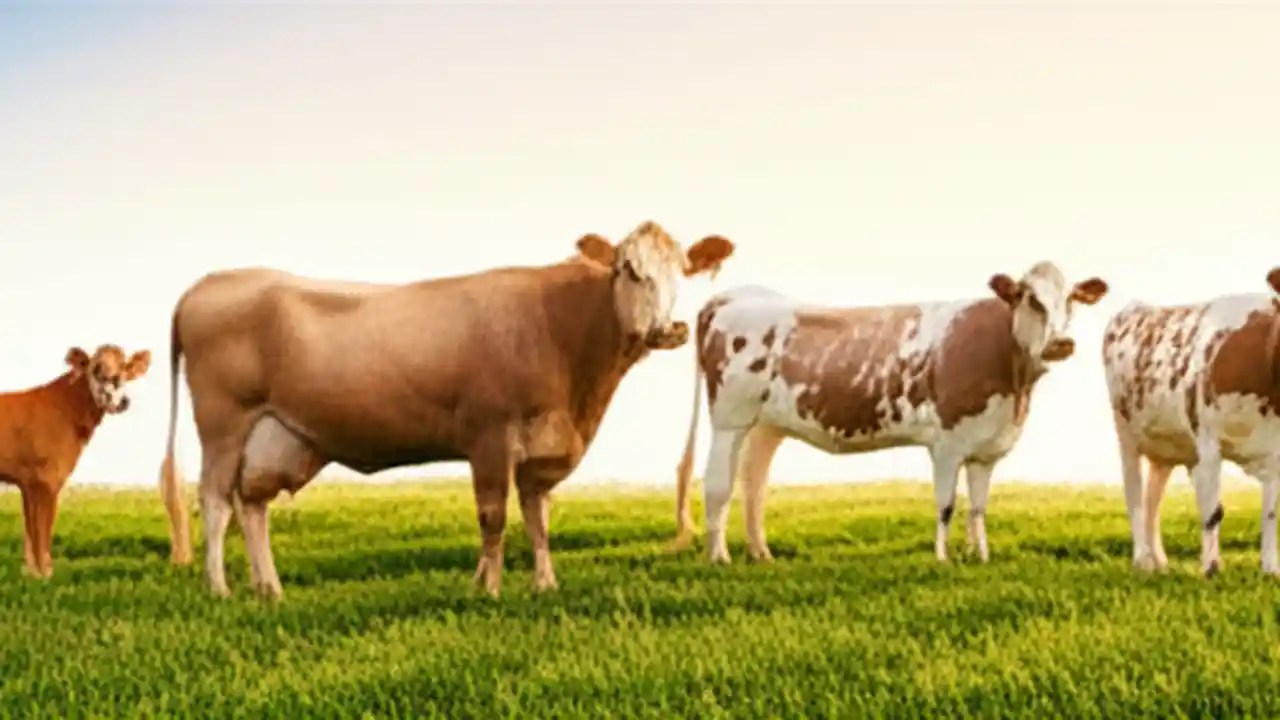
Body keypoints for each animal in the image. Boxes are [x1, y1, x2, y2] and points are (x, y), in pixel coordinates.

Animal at [0, 344, 151, 577]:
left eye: (125, 367)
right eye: (97, 368)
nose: (120, 401)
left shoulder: (29, 483)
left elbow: (31, 527)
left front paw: (32, 572)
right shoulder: (47, 479)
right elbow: (42, 526)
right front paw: (45, 573)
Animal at [157, 221, 735, 600]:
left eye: (683, 272)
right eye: (628, 270)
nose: (666, 329)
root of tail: (204, 285)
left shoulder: (543, 446)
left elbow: (538, 517)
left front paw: (544, 583)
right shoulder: (490, 434)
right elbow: (494, 516)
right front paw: (490, 589)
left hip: (275, 436)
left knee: (251, 504)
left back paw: (269, 588)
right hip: (222, 424)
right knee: (215, 501)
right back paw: (219, 588)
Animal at [671, 262, 1108, 565]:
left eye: (1071, 299)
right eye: (1031, 298)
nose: (1061, 343)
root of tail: (732, 295)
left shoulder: (986, 446)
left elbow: (978, 507)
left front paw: (980, 556)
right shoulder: (947, 444)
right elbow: (946, 504)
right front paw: (942, 559)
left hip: (766, 426)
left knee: (754, 484)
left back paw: (761, 554)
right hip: (729, 420)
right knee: (718, 484)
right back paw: (719, 556)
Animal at [1103, 268, 1280, 578]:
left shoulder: (1274, 450)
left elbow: (1270, 513)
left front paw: (1271, 569)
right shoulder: (1208, 443)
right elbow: (1213, 510)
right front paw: (1211, 569)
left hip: (1166, 446)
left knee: (1153, 498)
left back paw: (1159, 561)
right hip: (1126, 435)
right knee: (1134, 495)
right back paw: (1141, 560)